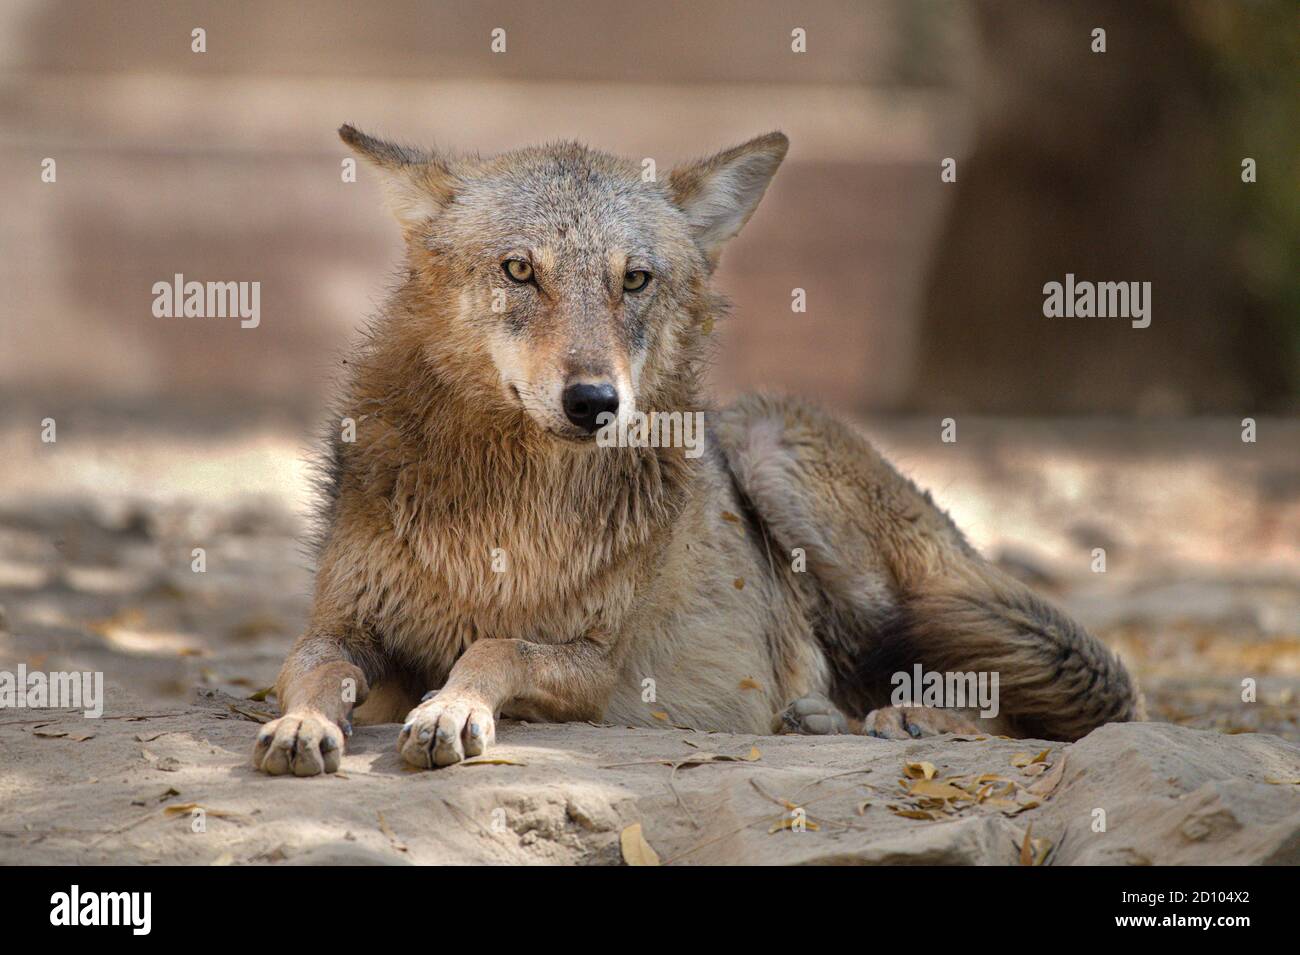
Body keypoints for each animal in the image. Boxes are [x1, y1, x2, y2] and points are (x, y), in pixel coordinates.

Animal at [253, 125, 1142, 775]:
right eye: (519, 270)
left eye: (635, 280)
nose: (595, 401)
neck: (508, 507)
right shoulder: (345, 624)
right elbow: (309, 668)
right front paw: (301, 725)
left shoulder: (597, 663)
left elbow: (492, 645)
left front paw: (451, 707)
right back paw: (829, 717)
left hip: (771, 449)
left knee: (1082, 708)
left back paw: (908, 722)